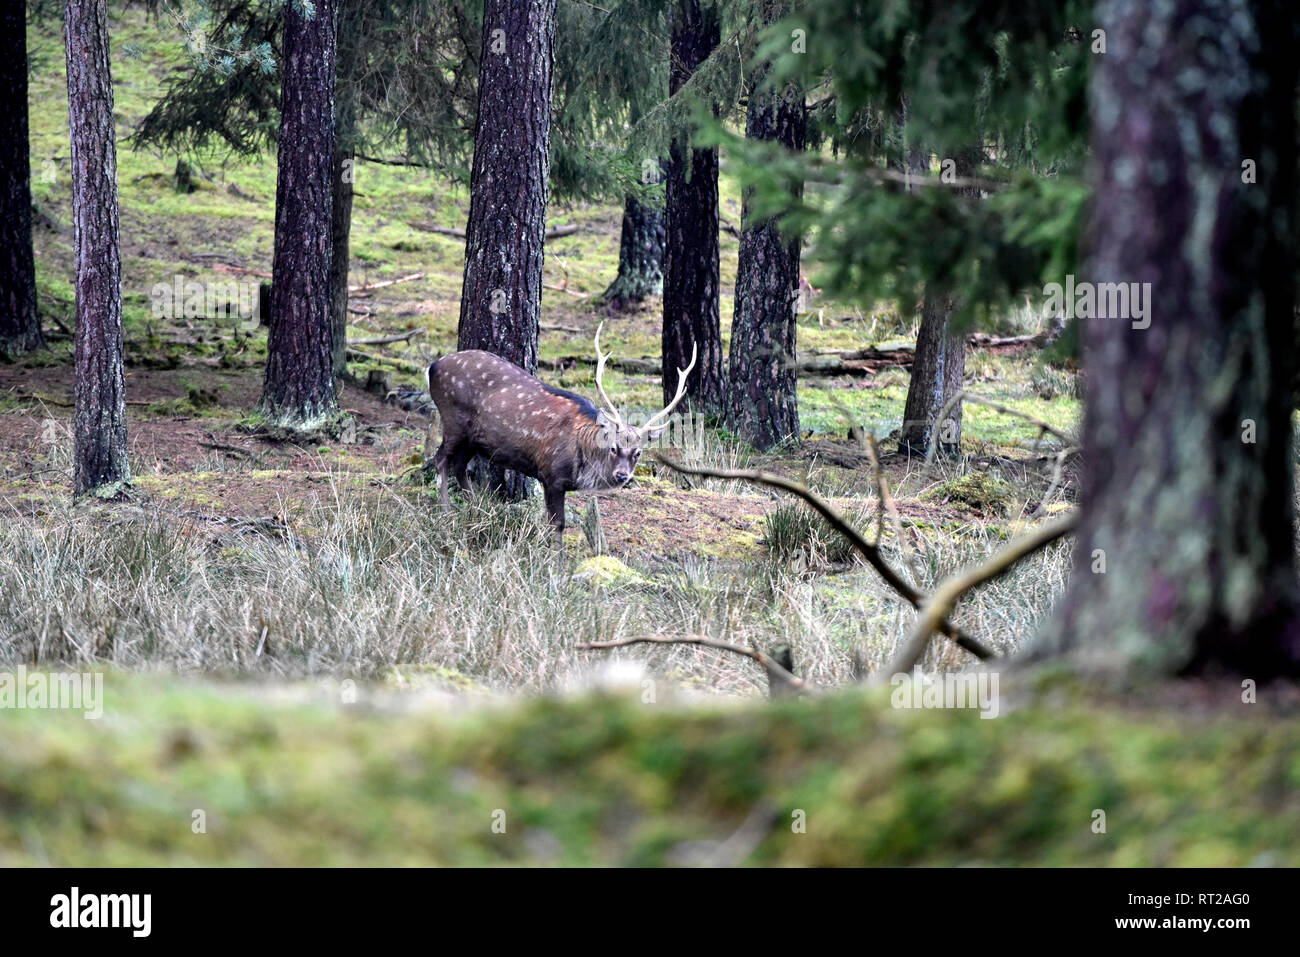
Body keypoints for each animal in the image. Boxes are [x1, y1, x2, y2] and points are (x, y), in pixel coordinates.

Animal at [427, 324, 697, 544]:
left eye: (638, 452)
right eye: (613, 447)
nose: (622, 475)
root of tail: (432, 367)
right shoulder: (551, 474)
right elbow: (557, 524)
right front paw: (554, 566)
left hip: (472, 438)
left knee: (459, 466)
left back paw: (478, 510)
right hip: (453, 420)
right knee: (440, 459)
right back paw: (446, 512)